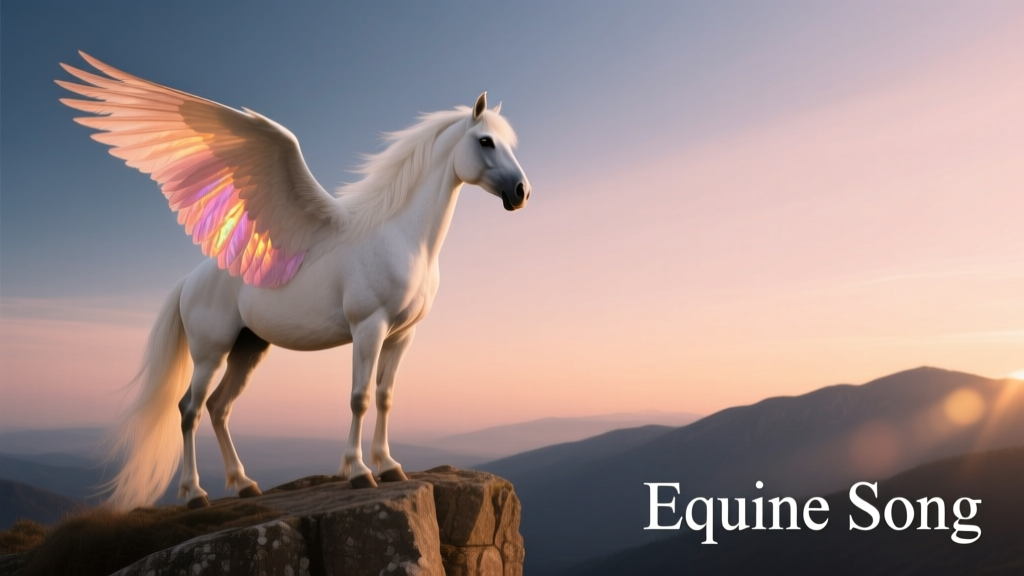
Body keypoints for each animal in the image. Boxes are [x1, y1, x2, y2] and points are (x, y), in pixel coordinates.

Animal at [57, 52, 531, 510]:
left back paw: (244, 485)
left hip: (249, 348)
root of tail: (188, 282)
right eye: (485, 141)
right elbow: (359, 397)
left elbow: (384, 396)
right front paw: (359, 473)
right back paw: (195, 495)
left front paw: (390, 466)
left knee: (219, 408)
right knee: (189, 409)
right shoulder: (369, 328)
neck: (401, 236)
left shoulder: (402, 335)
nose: (521, 192)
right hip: (210, 352)